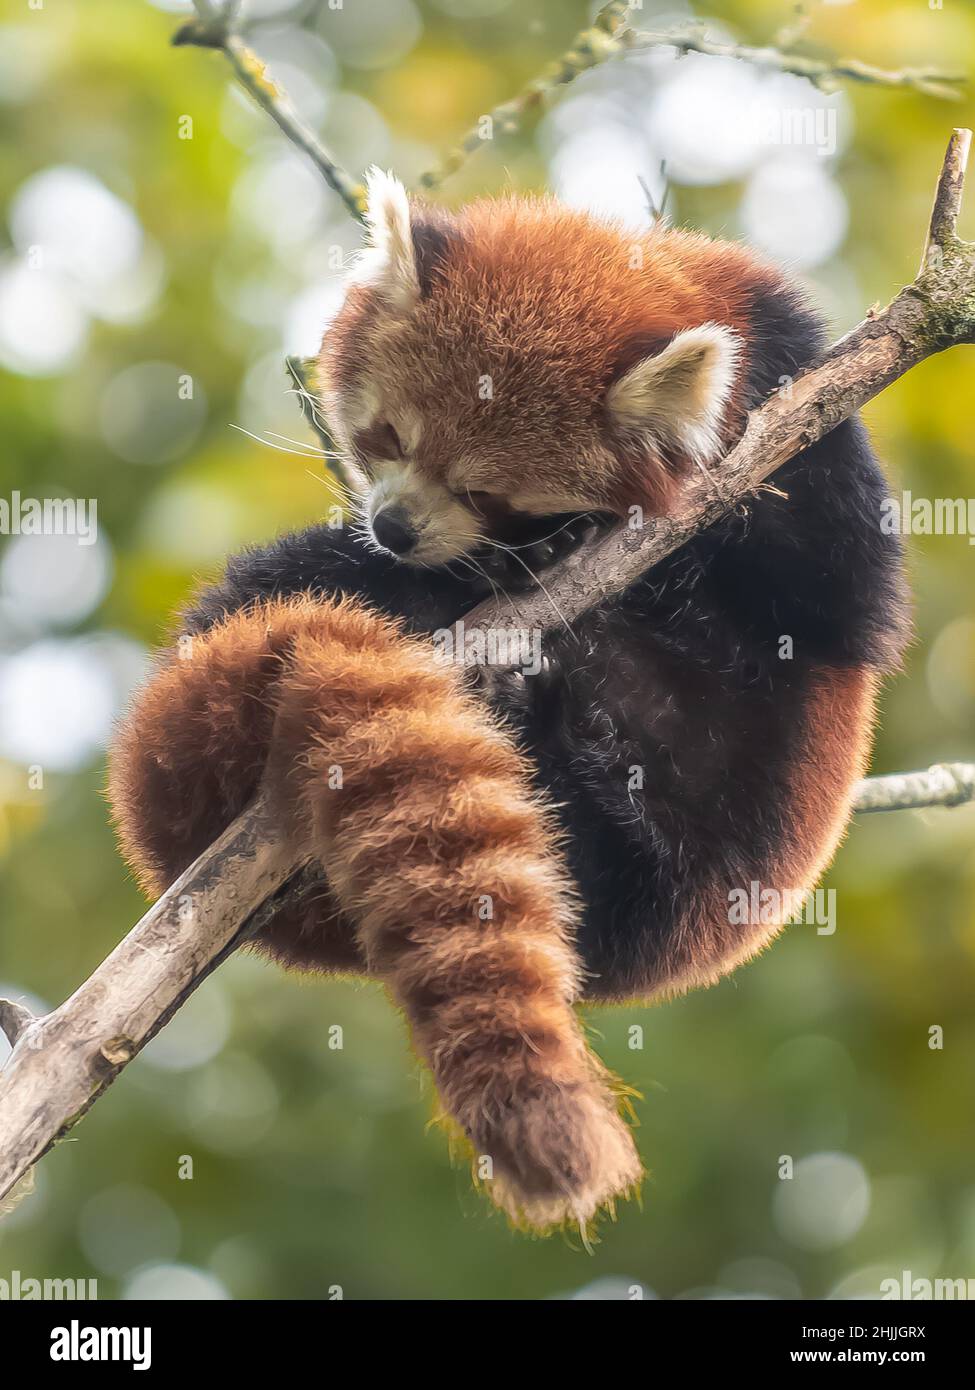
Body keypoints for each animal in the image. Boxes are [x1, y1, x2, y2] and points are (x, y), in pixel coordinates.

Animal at [109, 172, 910, 1231]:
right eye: (389, 437)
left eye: (487, 493)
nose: (396, 527)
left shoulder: (812, 408)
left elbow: (840, 600)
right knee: (282, 586)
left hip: (718, 862)